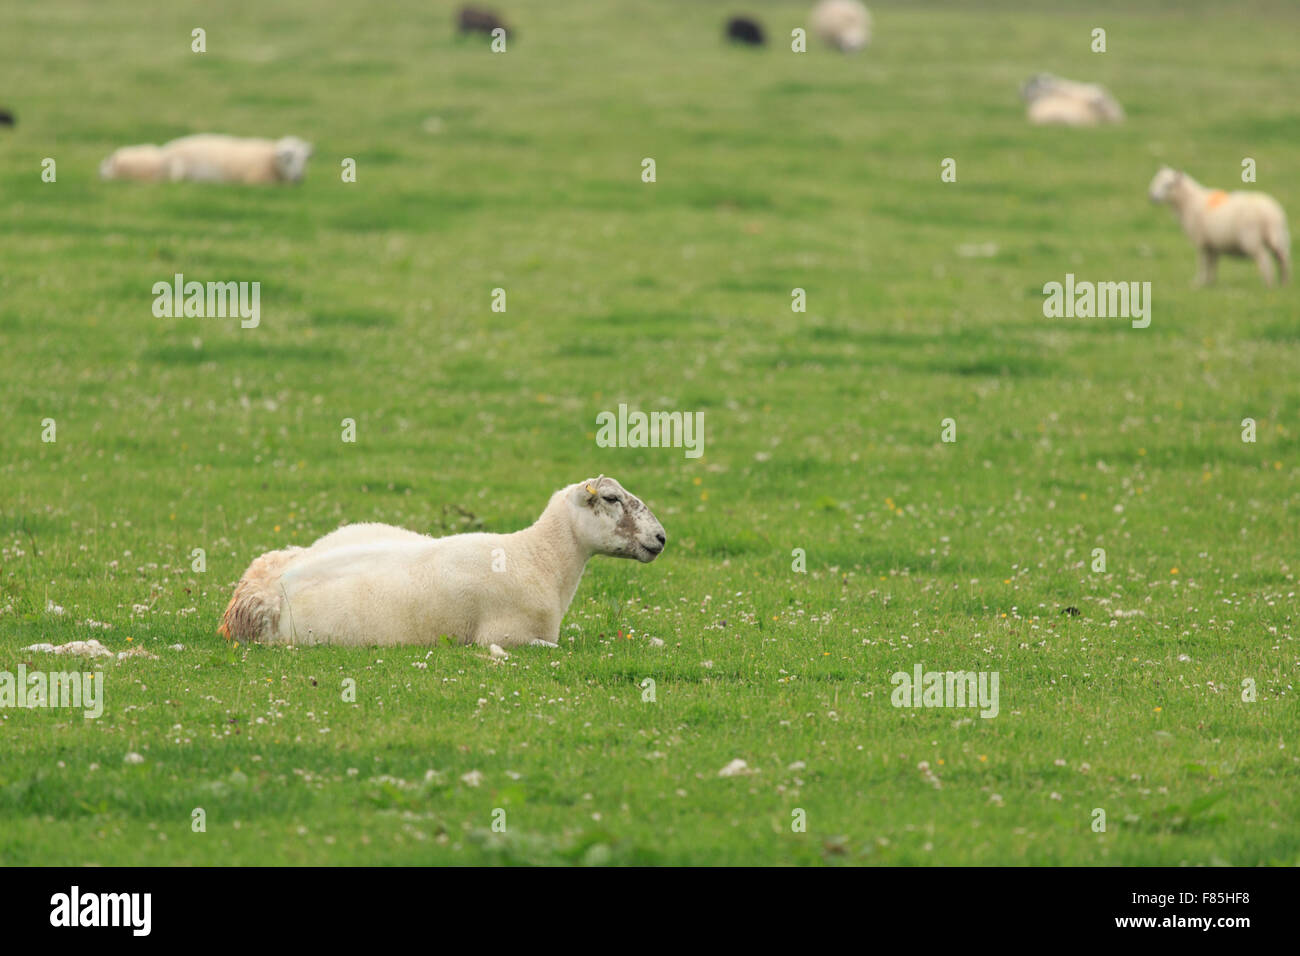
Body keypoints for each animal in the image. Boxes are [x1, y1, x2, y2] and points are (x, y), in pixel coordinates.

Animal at [1148, 166, 1291, 287]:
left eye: (1168, 185)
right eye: (1155, 182)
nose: (1153, 197)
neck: (1189, 203)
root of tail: (1271, 214)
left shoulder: (1202, 242)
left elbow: (1203, 263)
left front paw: (1198, 283)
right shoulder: (1213, 244)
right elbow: (1213, 264)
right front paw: (1211, 282)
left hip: (1252, 240)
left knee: (1265, 261)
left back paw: (1268, 284)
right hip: (1280, 239)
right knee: (1284, 261)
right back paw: (1284, 284)